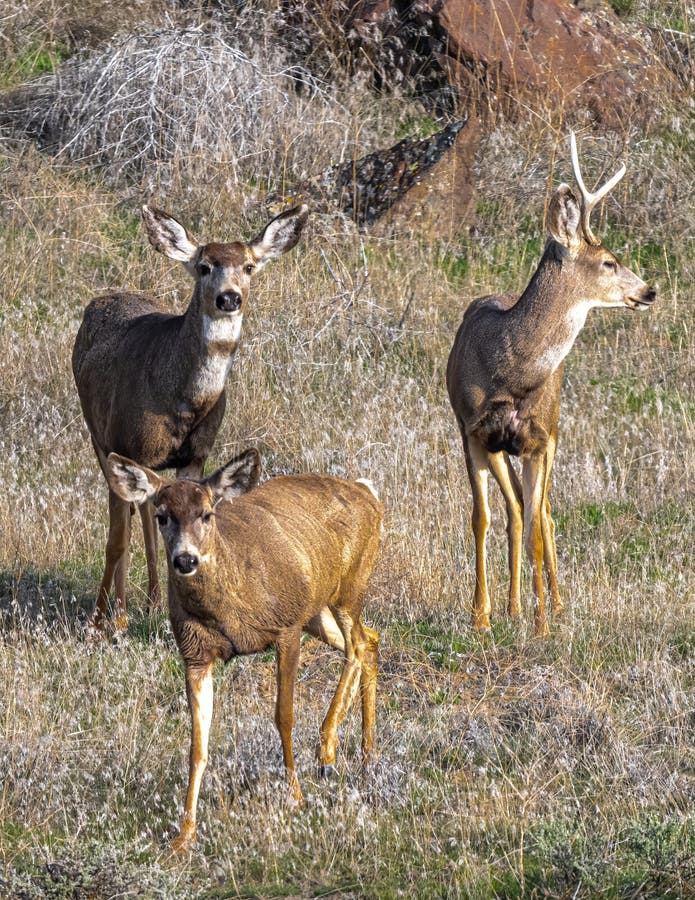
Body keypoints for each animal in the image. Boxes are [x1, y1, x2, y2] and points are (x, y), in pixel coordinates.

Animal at [72, 203, 309, 631]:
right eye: (204, 266)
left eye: (249, 266)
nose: (229, 297)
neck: (183, 401)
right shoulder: (124, 442)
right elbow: (118, 537)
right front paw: (107, 621)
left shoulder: (197, 454)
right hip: (96, 434)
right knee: (129, 520)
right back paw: (117, 611)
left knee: (144, 515)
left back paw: (150, 602)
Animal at [105, 447, 382, 851]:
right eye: (161, 515)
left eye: (207, 513)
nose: (185, 559)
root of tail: (367, 491)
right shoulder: (194, 653)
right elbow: (198, 745)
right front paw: (184, 835)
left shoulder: (286, 627)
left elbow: (284, 716)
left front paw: (296, 798)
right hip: (317, 610)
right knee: (370, 639)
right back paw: (365, 758)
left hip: (348, 588)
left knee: (358, 645)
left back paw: (328, 749)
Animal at [446, 132, 656, 637]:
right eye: (609, 262)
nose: (649, 291)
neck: (509, 373)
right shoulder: (472, 431)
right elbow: (481, 518)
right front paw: (481, 614)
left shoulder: (541, 439)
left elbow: (539, 532)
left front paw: (543, 625)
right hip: (501, 447)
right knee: (518, 512)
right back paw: (512, 607)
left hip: (552, 436)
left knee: (543, 516)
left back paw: (553, 606)